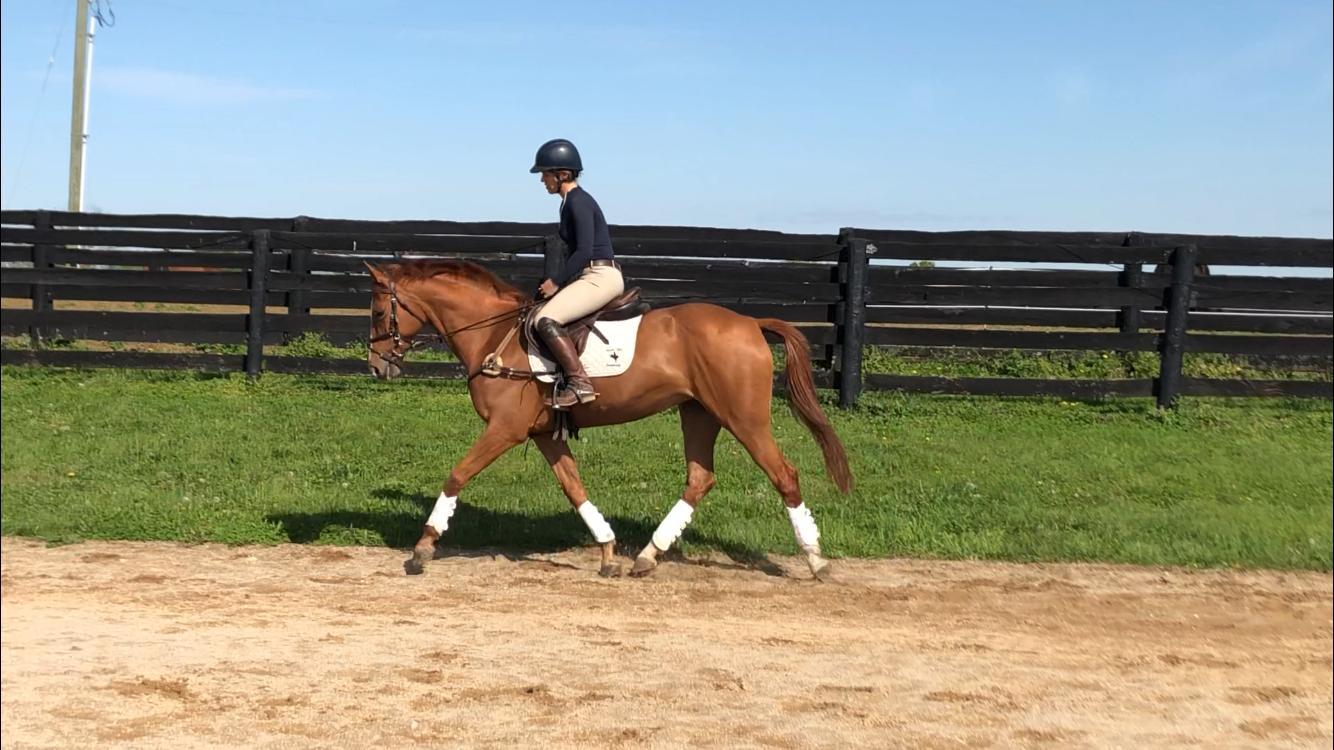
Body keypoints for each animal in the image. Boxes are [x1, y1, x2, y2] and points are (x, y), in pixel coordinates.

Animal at [362, 259, 854, 581]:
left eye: (377, 311)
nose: (377, 367)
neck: (492, 333)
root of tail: (750, 322)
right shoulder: (543, 434)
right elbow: (574, 487)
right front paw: (608, 551)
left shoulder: (505, 429)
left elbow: (457, 475)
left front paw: (422, 549)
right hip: (698, 413)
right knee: (700, 478)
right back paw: (648, 556)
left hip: (744, 418)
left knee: (783, 474)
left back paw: (815, 560)